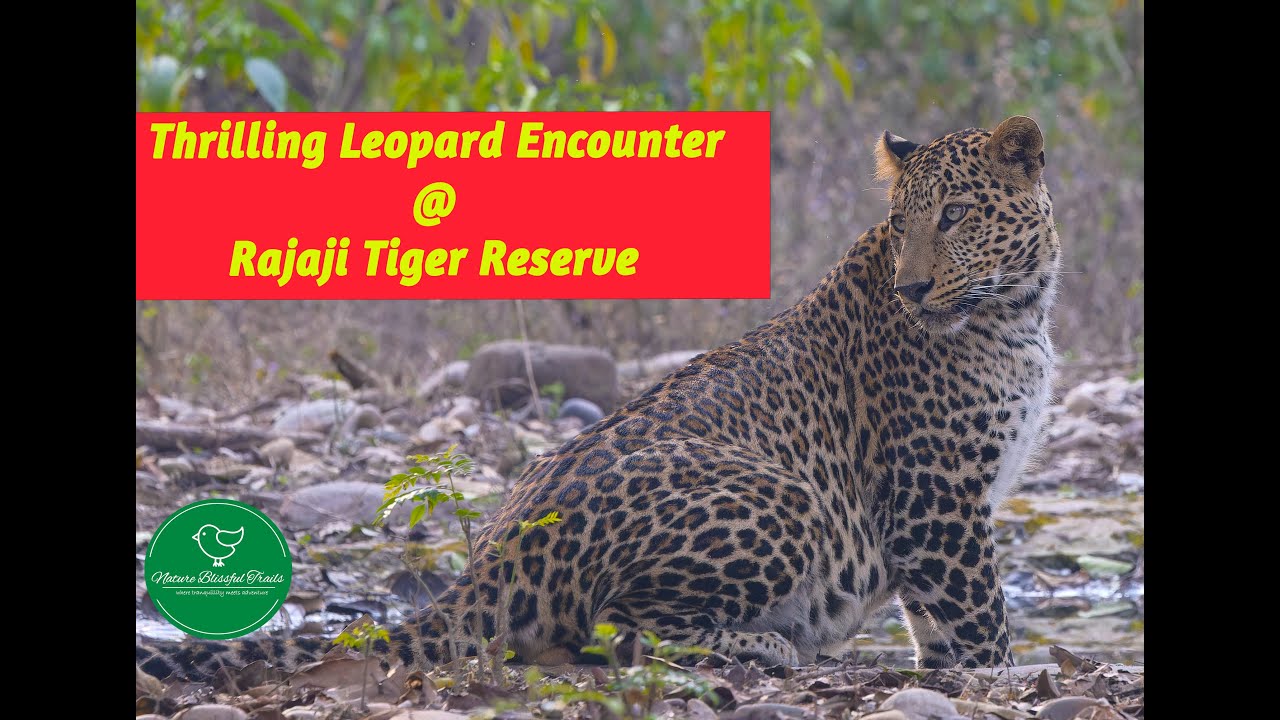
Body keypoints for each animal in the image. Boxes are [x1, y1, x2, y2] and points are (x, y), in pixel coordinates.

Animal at [138, 115, 1060, 679]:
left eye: (956, 215)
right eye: (903, 222)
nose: (913, 290)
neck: (1019, 310)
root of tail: (495, 558)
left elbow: (939, 621)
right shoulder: (935, 498)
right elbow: (978, 611)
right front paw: (999, 675)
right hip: (785, 496)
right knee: (613, 630)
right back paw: (769, 644)